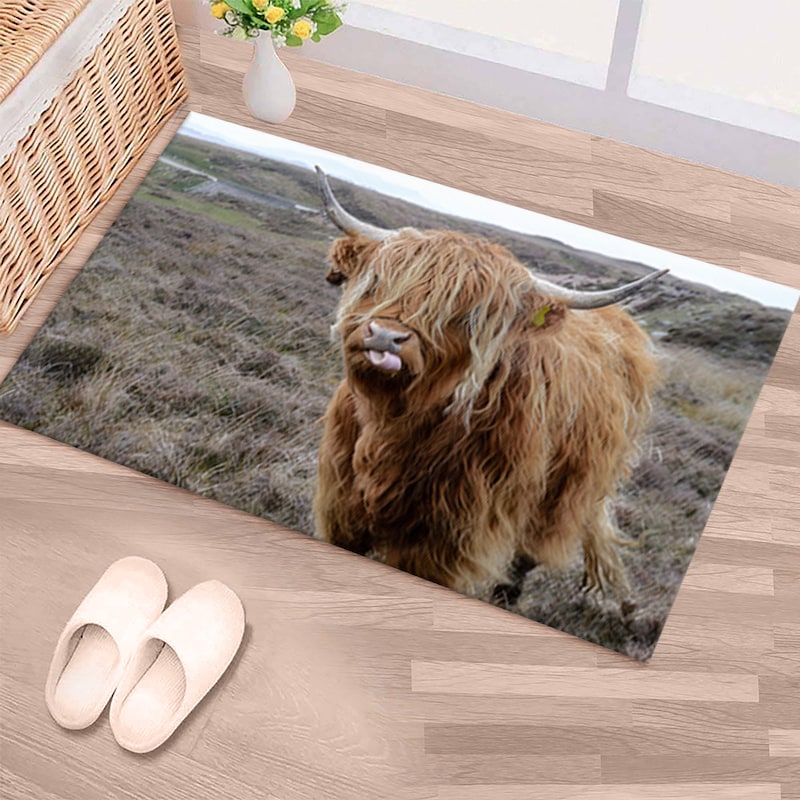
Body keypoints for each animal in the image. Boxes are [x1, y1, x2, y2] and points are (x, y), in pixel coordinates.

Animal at [312, 167, 666, 603]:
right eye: (379, 281)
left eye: (469, 316)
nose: (384, 337)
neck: (394, 422)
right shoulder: (340, 506)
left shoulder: (443, 542)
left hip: (562, 501)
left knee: (522, 563)